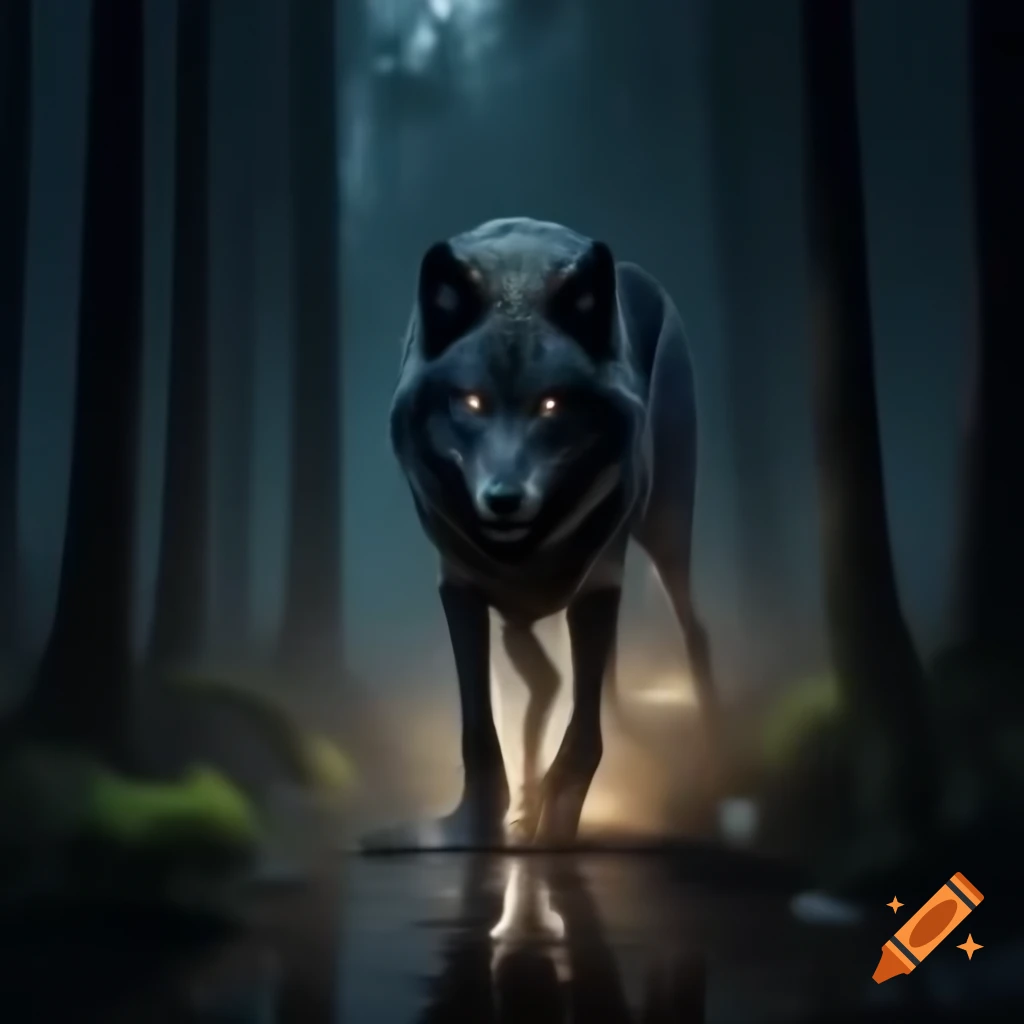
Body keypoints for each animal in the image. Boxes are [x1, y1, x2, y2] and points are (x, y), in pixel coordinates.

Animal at [373, 217, 716, 849]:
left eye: (552, 403)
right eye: (471, 401)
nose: (504, 499)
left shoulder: (599, 585)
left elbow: (583, 734)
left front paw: (554, 828)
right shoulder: (461, 589)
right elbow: (481, 729)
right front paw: (483, 825)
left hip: (665, 537)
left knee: (693, 635)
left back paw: (721, 769)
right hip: (522, 619)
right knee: (546, 682)